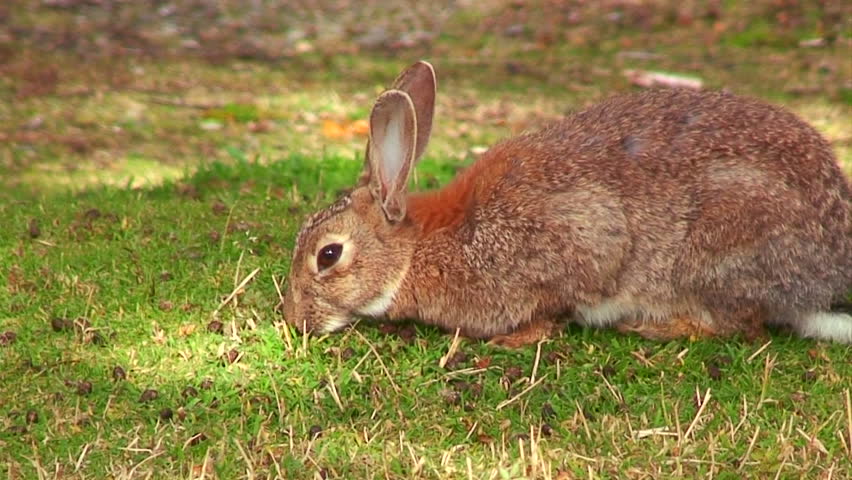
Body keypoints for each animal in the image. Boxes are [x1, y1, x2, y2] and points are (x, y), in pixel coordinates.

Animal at [281, 60, 852, 347]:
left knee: (740, 324)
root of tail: (824, 272)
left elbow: (559, 299)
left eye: (328, 256)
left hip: (722, 245)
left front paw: (517, 340)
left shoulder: (580, 238)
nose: (294, 319)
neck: (418, 249)